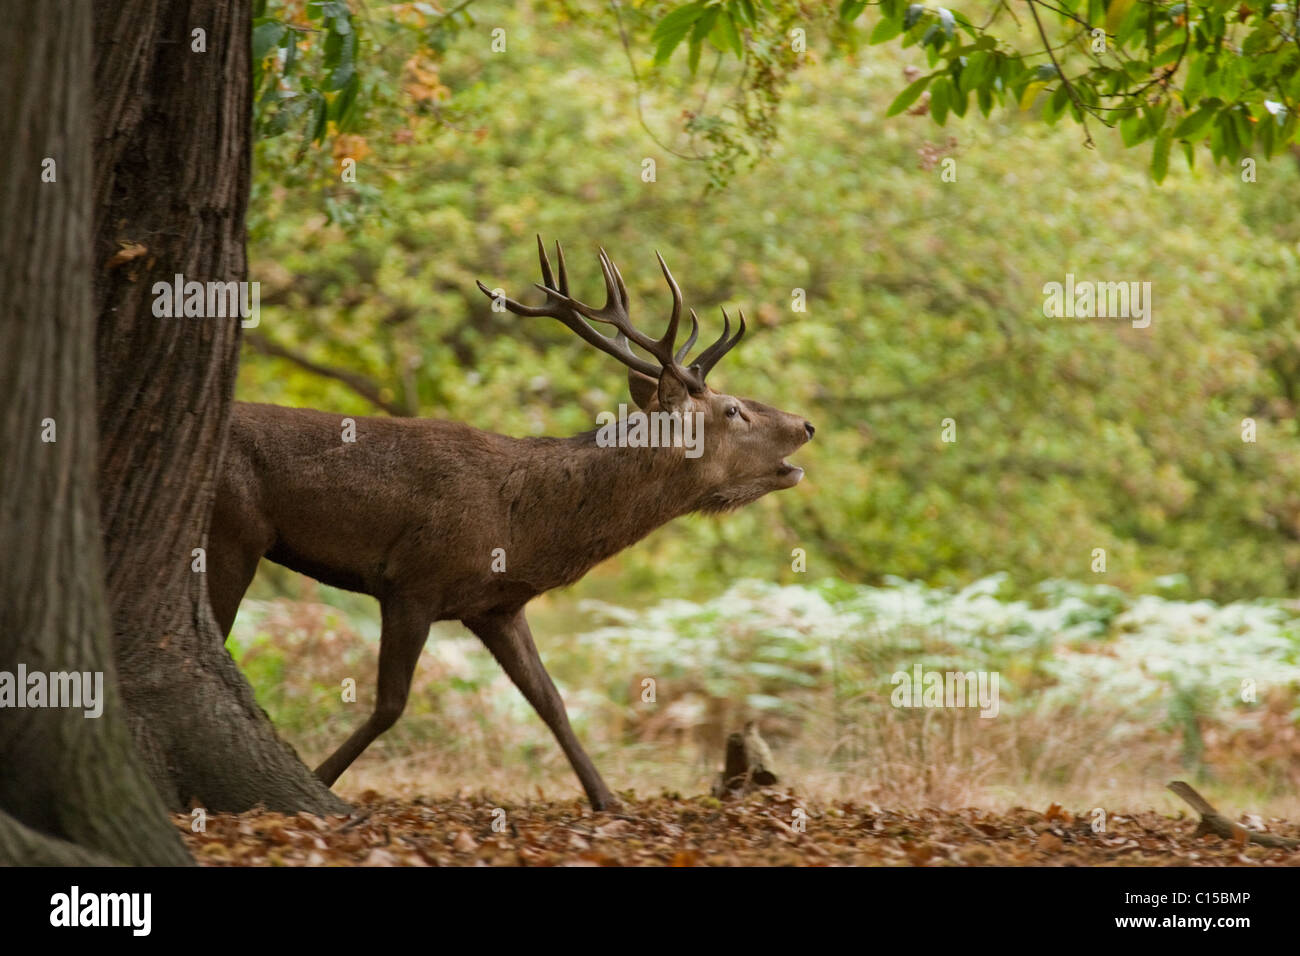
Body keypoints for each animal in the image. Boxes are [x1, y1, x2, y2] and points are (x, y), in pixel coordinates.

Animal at [208, 238, 814, 810]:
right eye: (733, 409)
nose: (806, 424)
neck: (525, 530)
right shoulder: (413, 581)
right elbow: (391, 704)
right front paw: (319, 783)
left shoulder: (496, 606)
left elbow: (551, 701)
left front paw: (606, 798)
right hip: (234, 532)